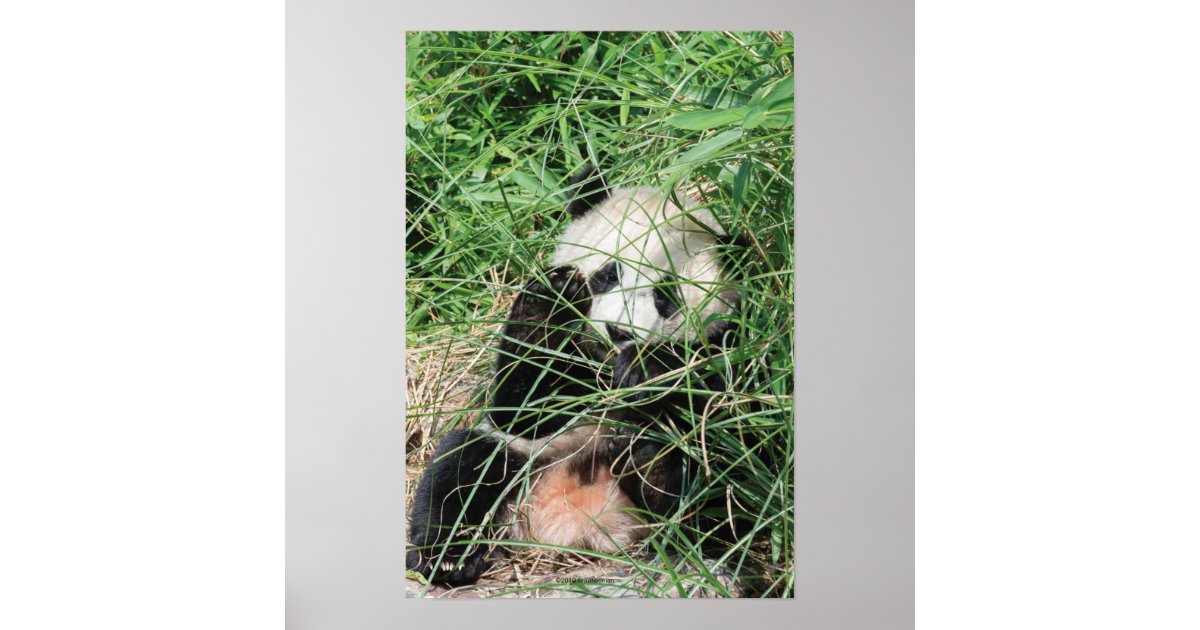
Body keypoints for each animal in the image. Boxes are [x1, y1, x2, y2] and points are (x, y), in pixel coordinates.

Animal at [407, 168, 742, 586]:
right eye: (609, 274)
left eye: (664, 296)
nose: (620, 331)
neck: (602, 362)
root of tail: (576, 523)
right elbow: (521, 409)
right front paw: (550, 299)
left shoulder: (732, 339)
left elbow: (726, 395)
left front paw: (645, 367)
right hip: (527, 460)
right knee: (461, 468)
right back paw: (448, 558)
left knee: (716, 483)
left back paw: (650, 467)